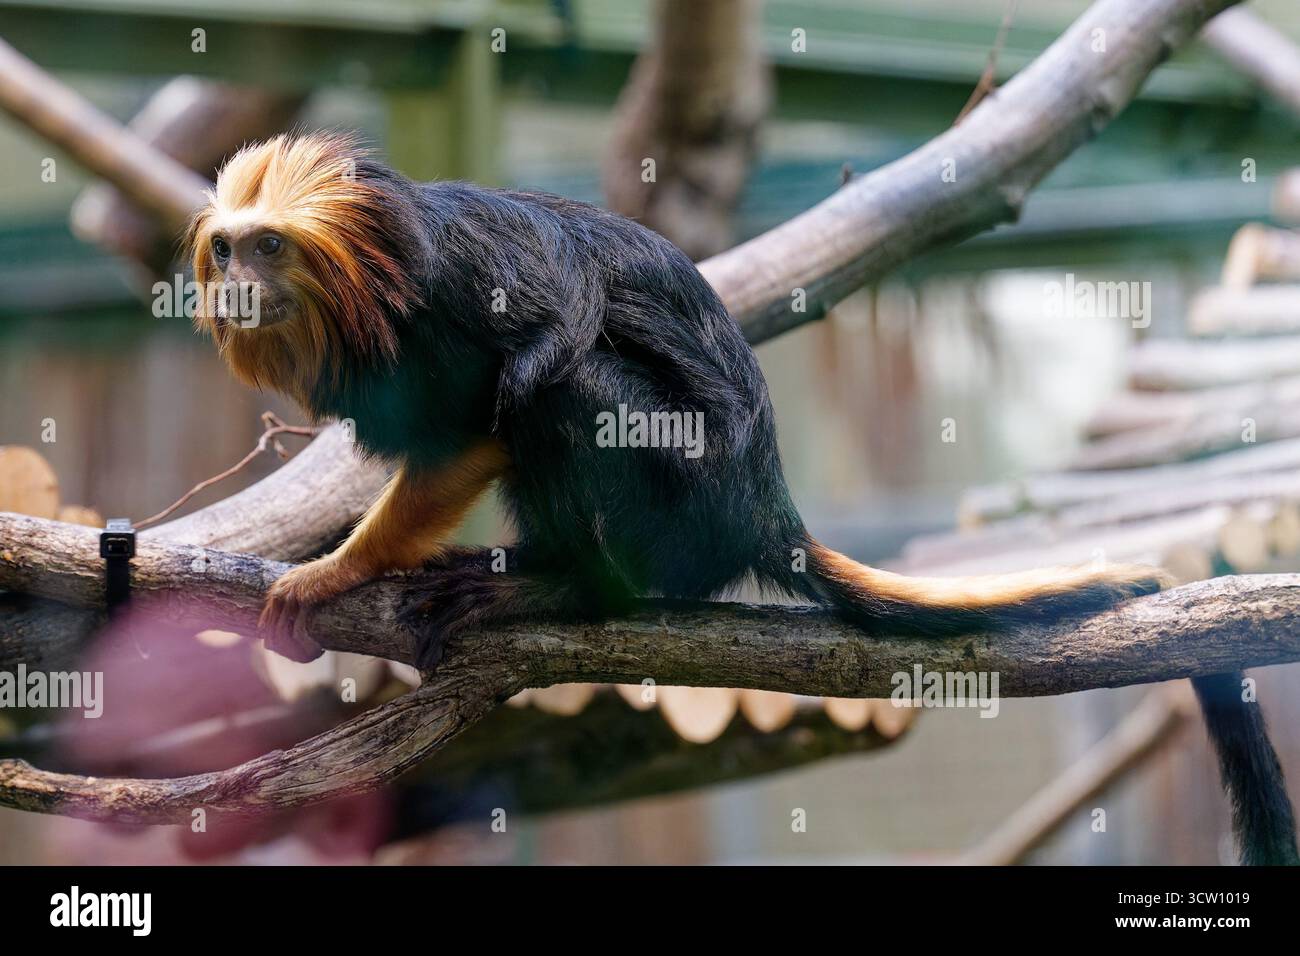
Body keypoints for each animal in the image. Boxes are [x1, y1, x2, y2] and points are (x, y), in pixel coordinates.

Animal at [187, 132, 1296, 865]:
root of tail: (768, 505)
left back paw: (569, 591)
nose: (234, 283)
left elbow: (498, 408)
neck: (373, 281)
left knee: (570, 387)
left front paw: (335, 572)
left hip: (690, 495)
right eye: (226, 248)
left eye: (270, 247)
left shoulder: (465, 285)